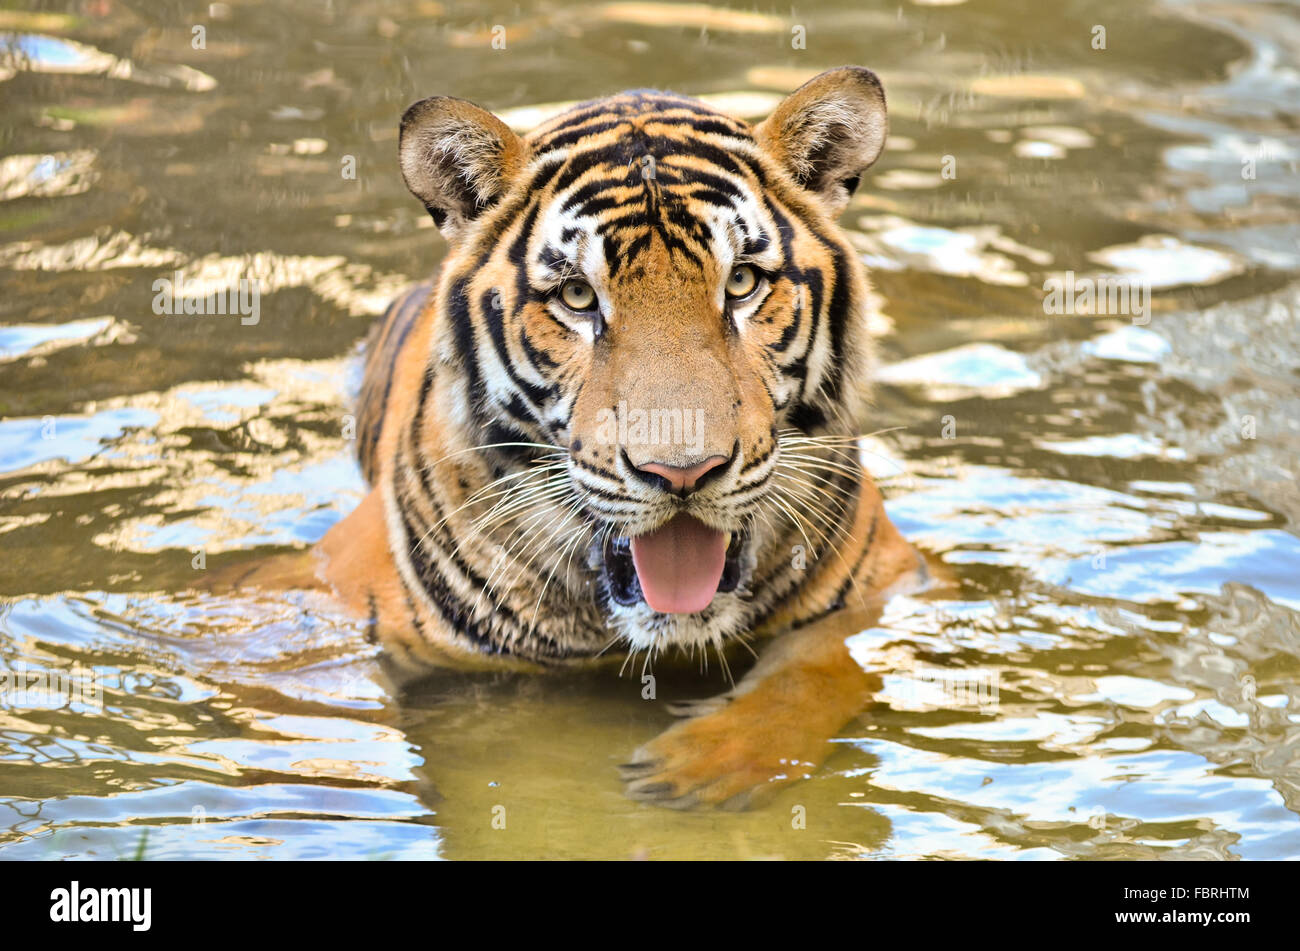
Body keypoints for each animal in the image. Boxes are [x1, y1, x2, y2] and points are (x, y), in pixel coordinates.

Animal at [222, 66, 937, 809]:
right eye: (576, 297)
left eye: (741, 282)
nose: (682, 473)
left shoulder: (882, 589)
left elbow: (819, 674)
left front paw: (697, 767)